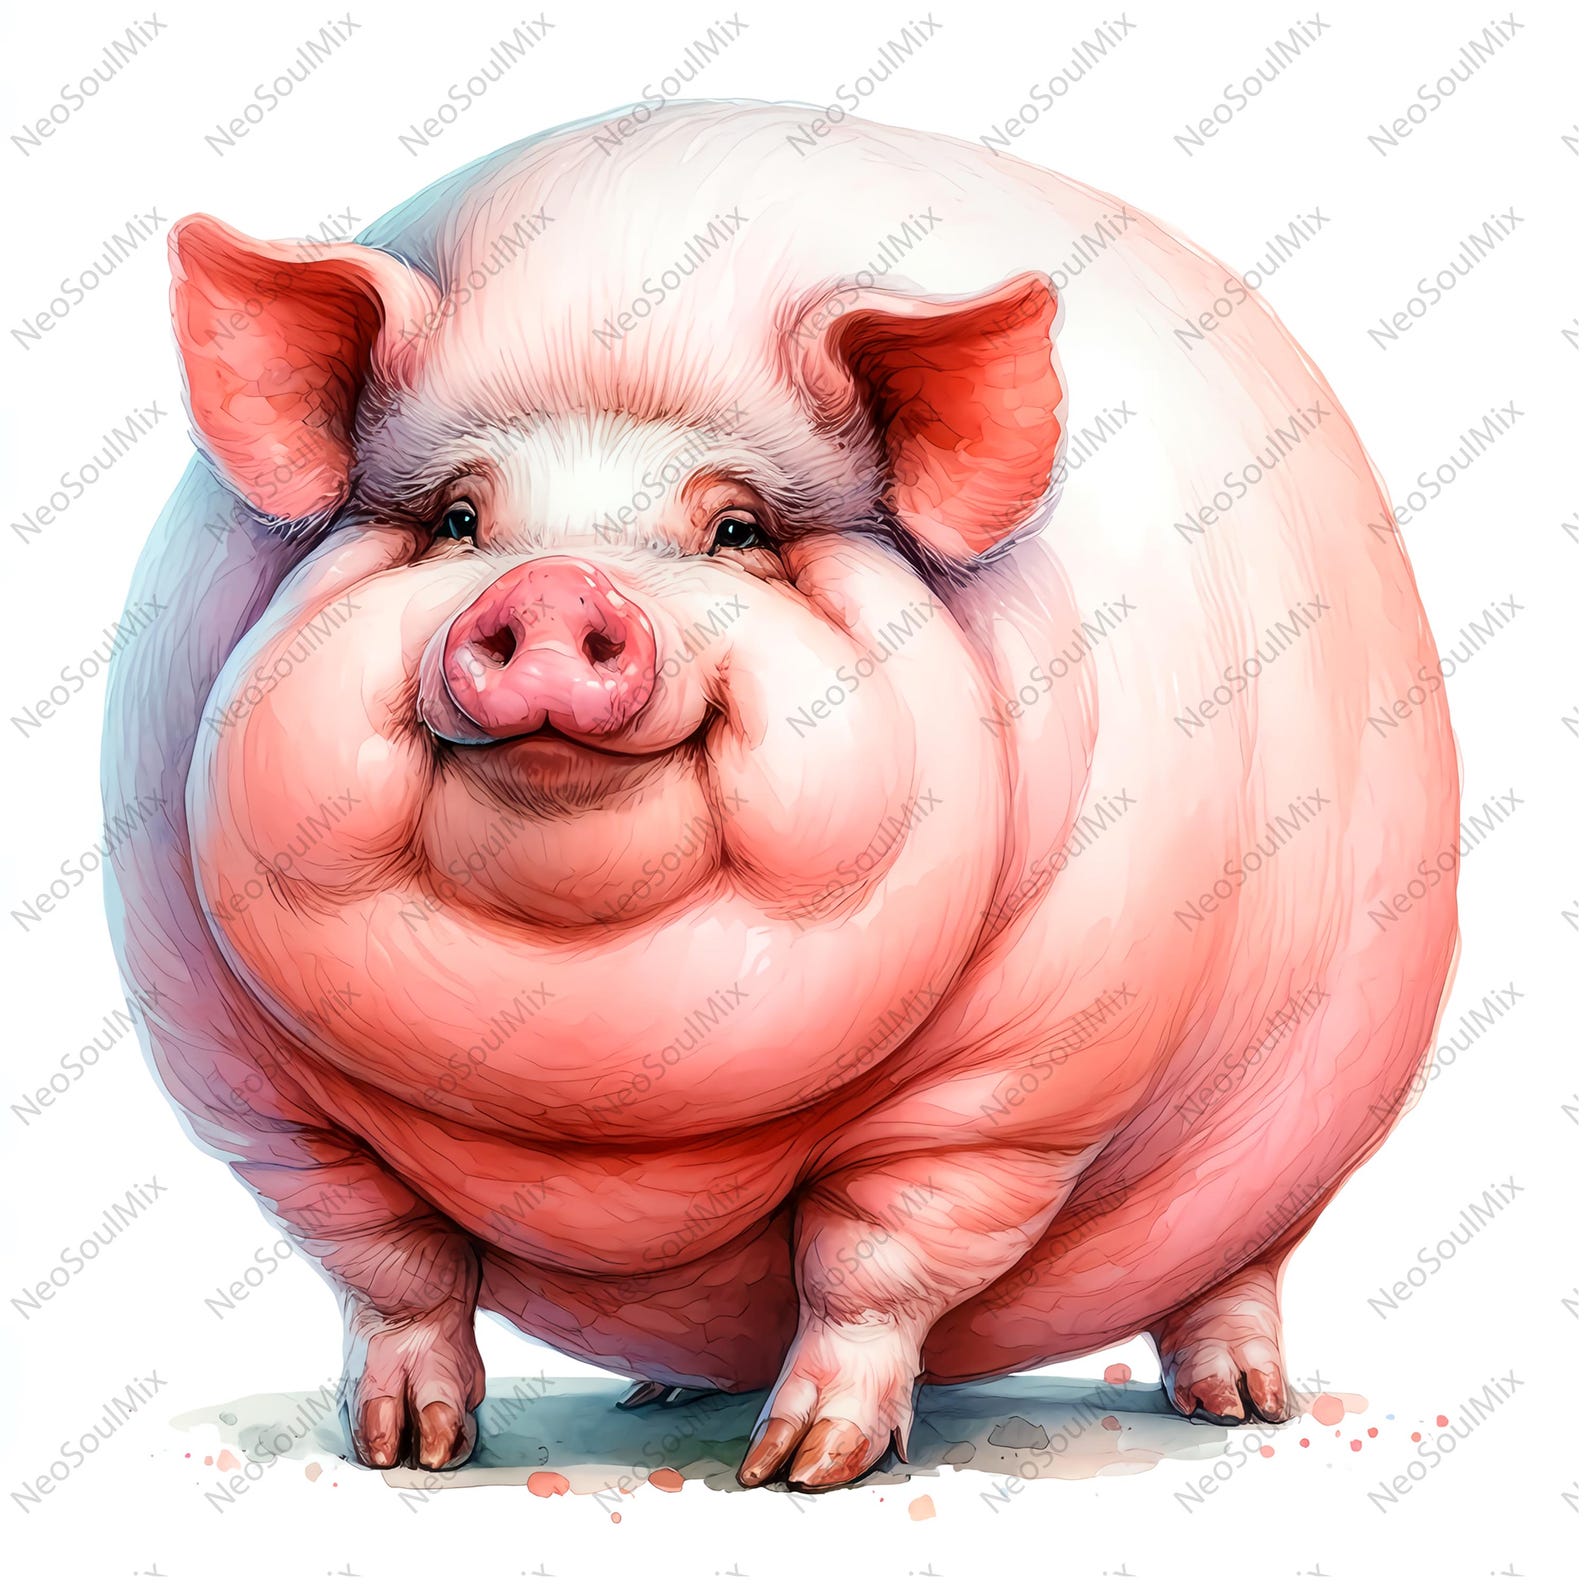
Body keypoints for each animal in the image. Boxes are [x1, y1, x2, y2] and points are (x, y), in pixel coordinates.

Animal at [102, 100, 1458, 1490]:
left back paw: (1239, 1408)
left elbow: (870, 1255)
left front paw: (799, 1470)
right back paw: (650, 1391)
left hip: (1303, 1140)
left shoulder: (1005, 1095)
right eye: (459, 518)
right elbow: (391, 1267)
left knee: (1236, 1276)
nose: (553, 591)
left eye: (738, 529)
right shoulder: (266, 1110)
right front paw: (404, 1452)